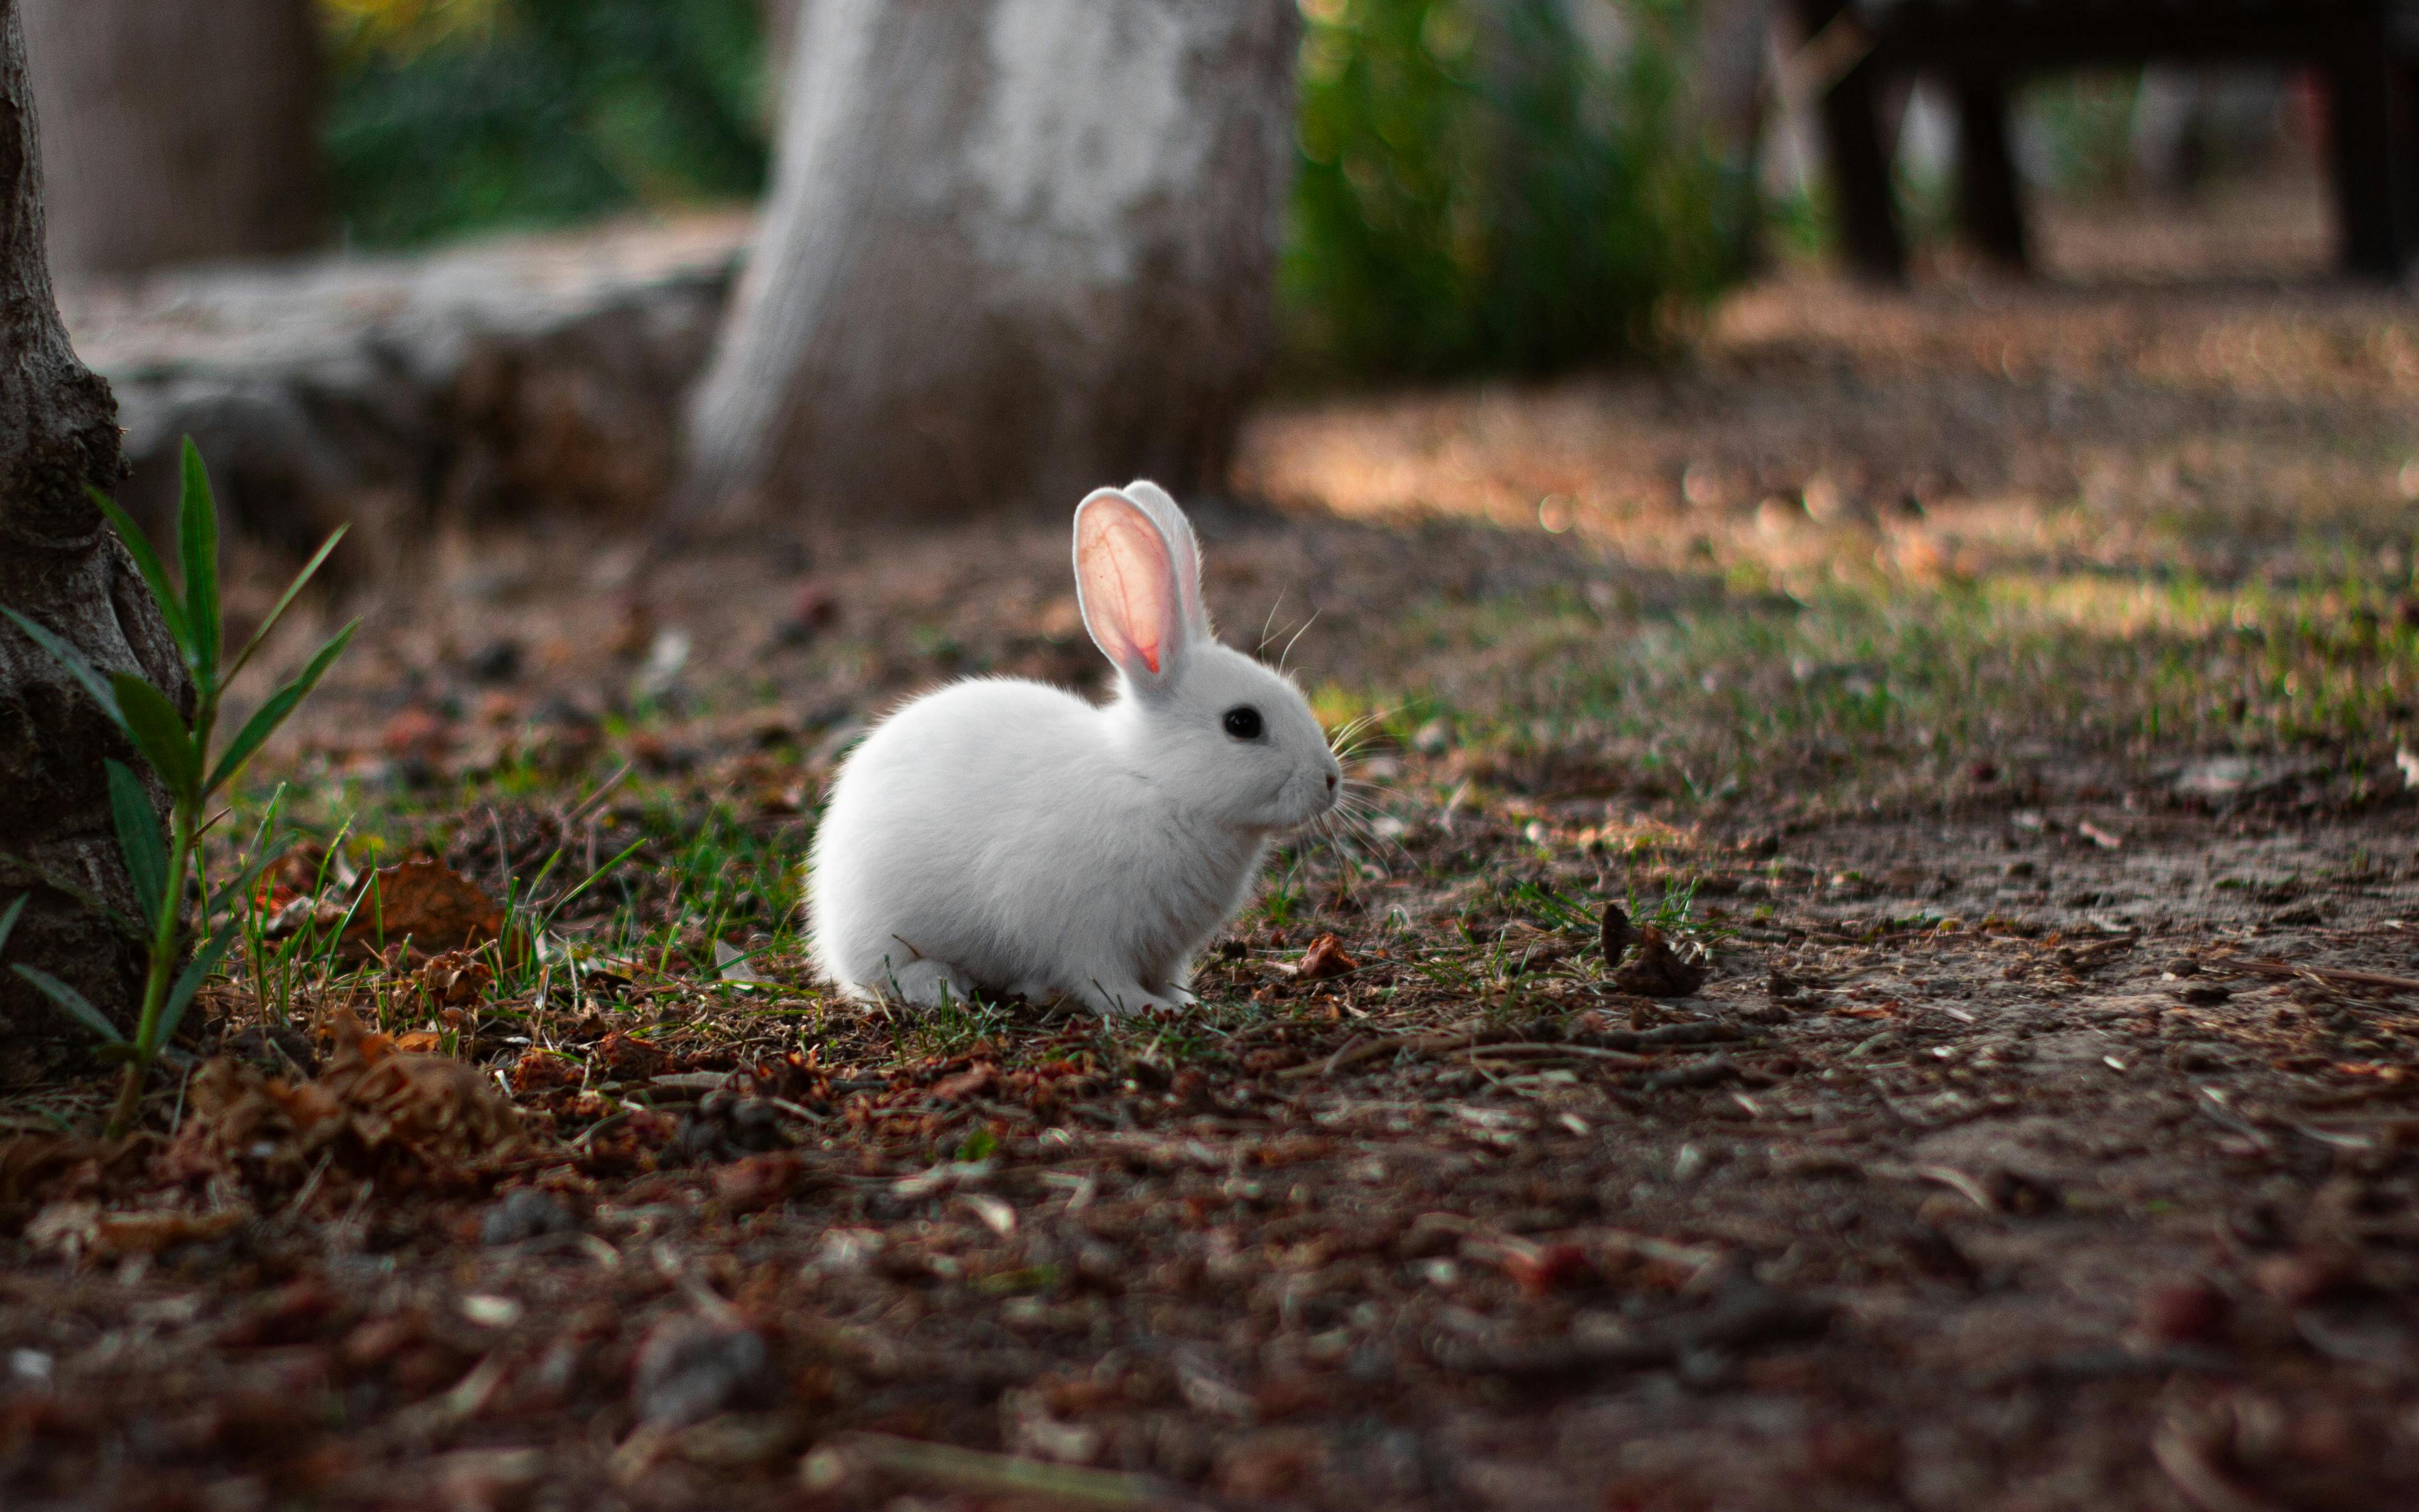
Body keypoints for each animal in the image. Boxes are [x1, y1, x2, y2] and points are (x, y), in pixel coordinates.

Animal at [808, 482, 1341, 1016]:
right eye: (1242, 723)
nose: (1330, 781)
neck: (1156, 784)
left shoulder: (1165, 951)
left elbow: (1167, 976)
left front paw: (1184, 1002)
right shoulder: (1086, 933)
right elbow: (1102, 980)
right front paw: (1151, 1008)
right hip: (884, 930)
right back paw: (943, 987)